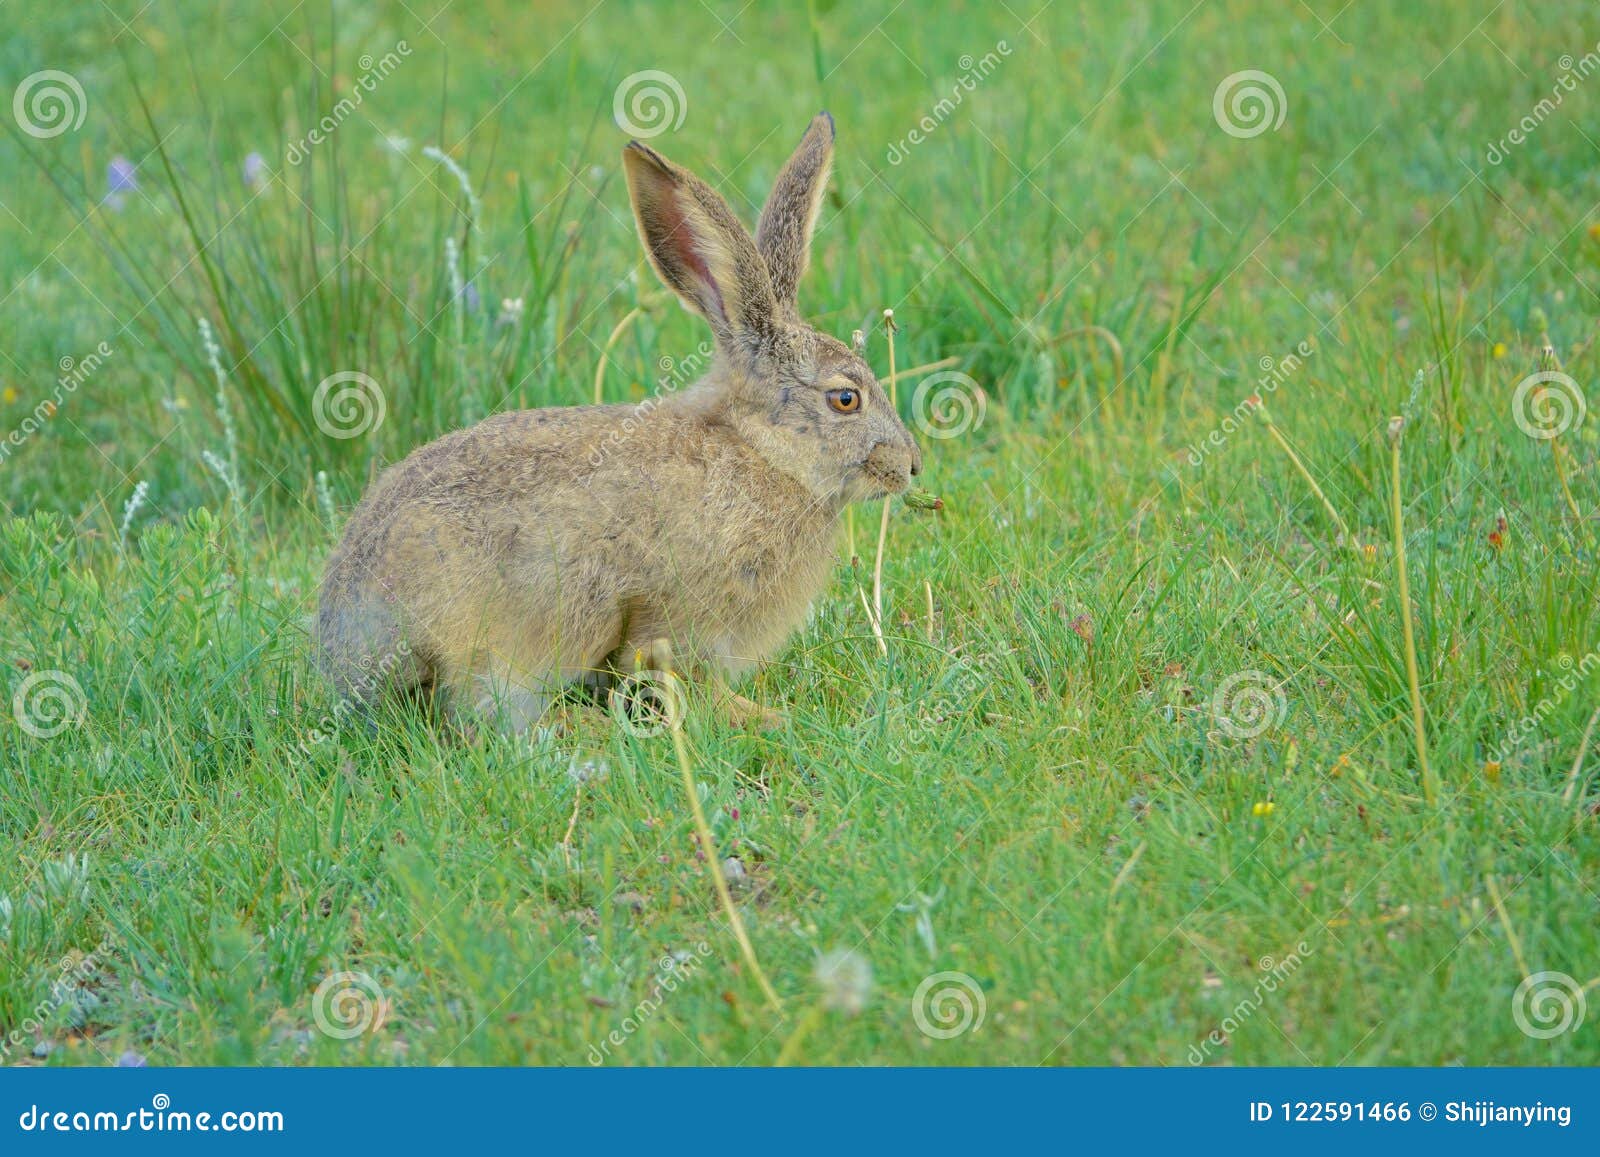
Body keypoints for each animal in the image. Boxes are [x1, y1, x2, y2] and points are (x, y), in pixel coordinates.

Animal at [316, 112, 921, 734]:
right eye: (845, 399)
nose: (910, 466)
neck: (762, 452)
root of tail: (344, 645)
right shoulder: (677, 614)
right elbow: (678, 674)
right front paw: (761, 717)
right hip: (494, 633)